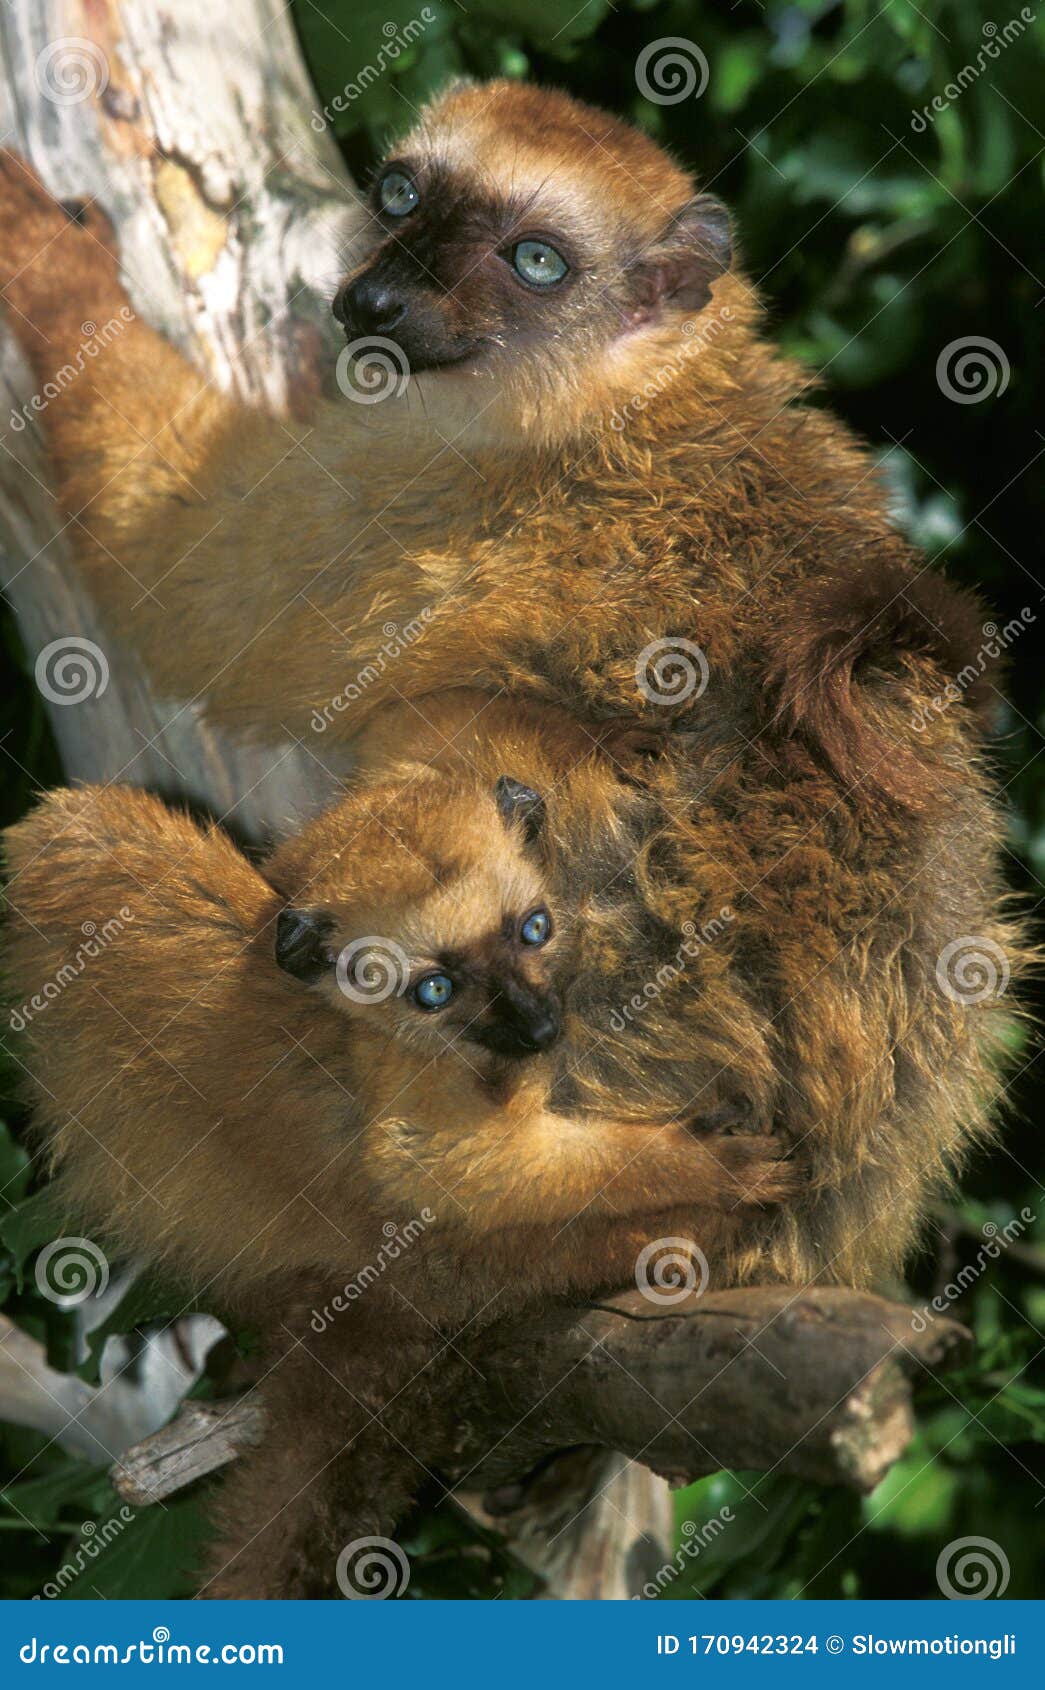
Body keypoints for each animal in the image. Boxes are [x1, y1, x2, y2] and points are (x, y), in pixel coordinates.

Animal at [0, 78, 1024, 1334]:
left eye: (535, 260)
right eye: (401, 197)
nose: (376, 300)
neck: (639, 394)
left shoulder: (428, 495)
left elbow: (176, 561)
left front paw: (42, 255)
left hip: (384, 1170)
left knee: (90, 845)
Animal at [2, 753, 795, 1597]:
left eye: (534, 929)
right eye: (433, 990)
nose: (537, 1024)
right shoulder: (407, 1069)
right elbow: (440, 1164)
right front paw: (708, 1165)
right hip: (457, 1274)